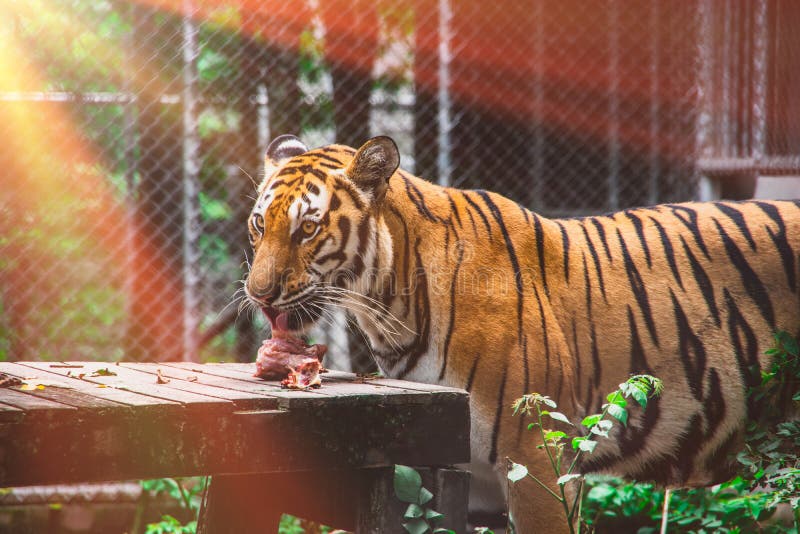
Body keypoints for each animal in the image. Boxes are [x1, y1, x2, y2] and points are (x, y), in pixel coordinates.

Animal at [244, 134, 800, 532]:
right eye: (258, 224)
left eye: (308, 228)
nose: (258, 294)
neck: (390, 311)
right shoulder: (469, 477)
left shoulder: (536, 461)